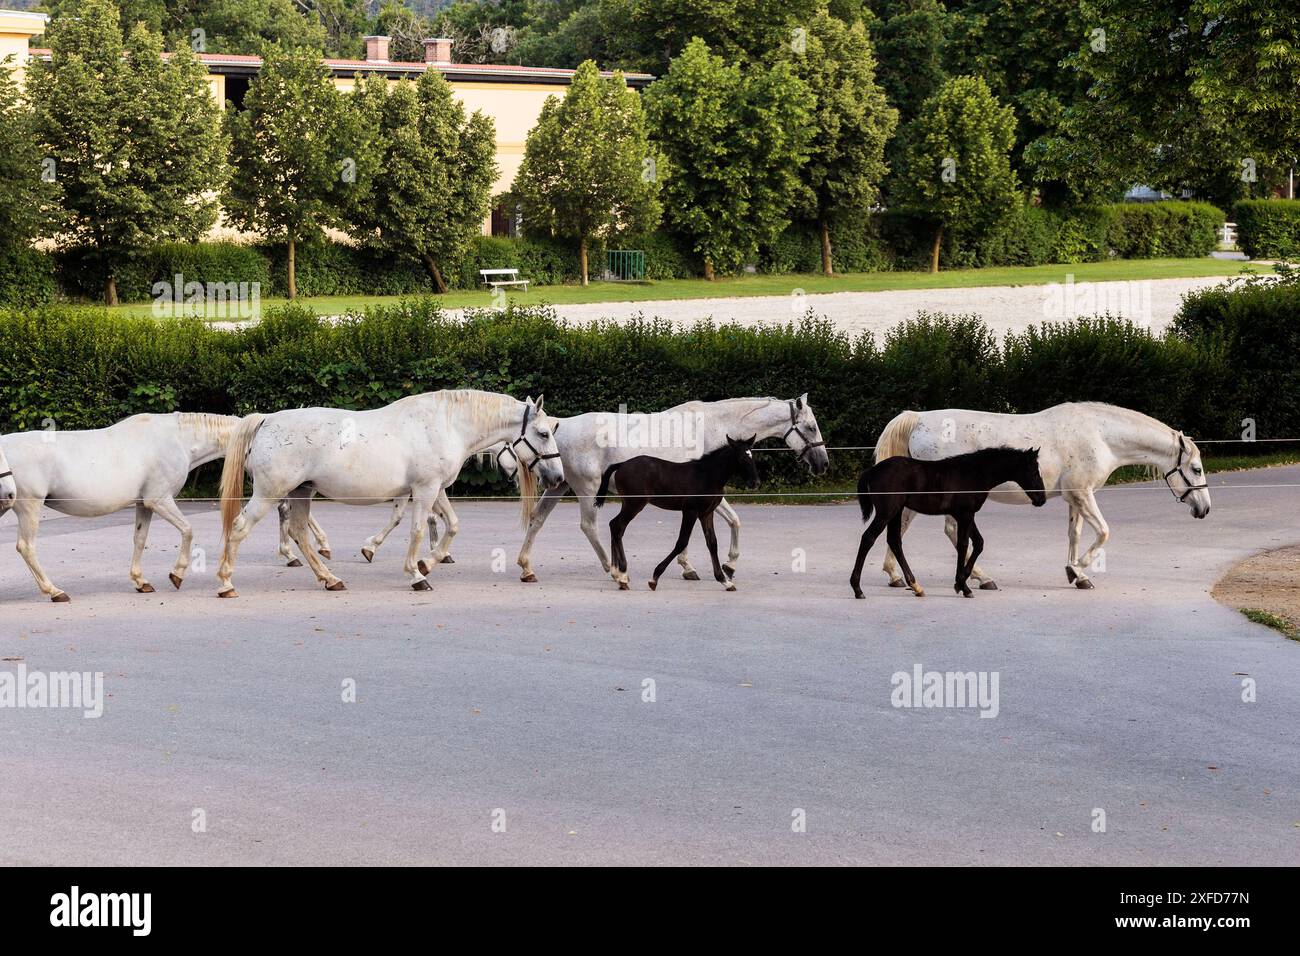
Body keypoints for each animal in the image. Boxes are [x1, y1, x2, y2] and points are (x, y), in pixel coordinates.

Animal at [1, 413, 241, 601]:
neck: (178, 439)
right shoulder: (159, 500)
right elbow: (188, 530)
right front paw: (177, 575)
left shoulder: (144, 504)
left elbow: (140, 539)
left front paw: (140, 581)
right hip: (30, 508)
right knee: (26, 547)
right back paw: (54, 591)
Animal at [274, 441, 520, 567]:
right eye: (517, 451)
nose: (518, 480)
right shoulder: (413, 491)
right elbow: (400, 518)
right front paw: (370, 548)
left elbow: (432, 517)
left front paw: (439, 553)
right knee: (287, 510)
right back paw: (297, 551)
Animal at [596, 435, 760, 592]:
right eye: (741, 458)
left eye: (752, 456)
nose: (756, 482)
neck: (707, 475)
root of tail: (622, 464)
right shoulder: (690, 511)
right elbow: (682, 542)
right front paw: (654, 578)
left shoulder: (706, 514)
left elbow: (712, 543)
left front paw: (725, 581)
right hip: (634, 504)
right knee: (617, 526)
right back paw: (622, 575)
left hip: (628, 504)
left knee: (615, 526)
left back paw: (617, 574)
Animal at [849, 447, 1047, 600]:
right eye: (1034, 471)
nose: (1041, 499)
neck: (974, 473)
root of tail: (872, 471)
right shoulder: (965, 514)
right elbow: (964, 544)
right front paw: (963, 587)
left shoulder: (966, 515)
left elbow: (978, 543)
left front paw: (962, 583)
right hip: (886, 512)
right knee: (868, 538)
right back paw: (858, 589)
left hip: (896, 512)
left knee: (894, 540)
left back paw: (916, 586)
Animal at [873, 403, 1211, 590]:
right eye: (1195, 469)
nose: (1204, 509)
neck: (1099, 435)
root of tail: (917, 418)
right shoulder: (1083, 494)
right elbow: (1103, 532)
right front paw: (1082, 567)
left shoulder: (1075, 498)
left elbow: (1074, 534)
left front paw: (1076, 575)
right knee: (949, 530)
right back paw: (979, 578)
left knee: (904, 525)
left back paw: (897, 576)